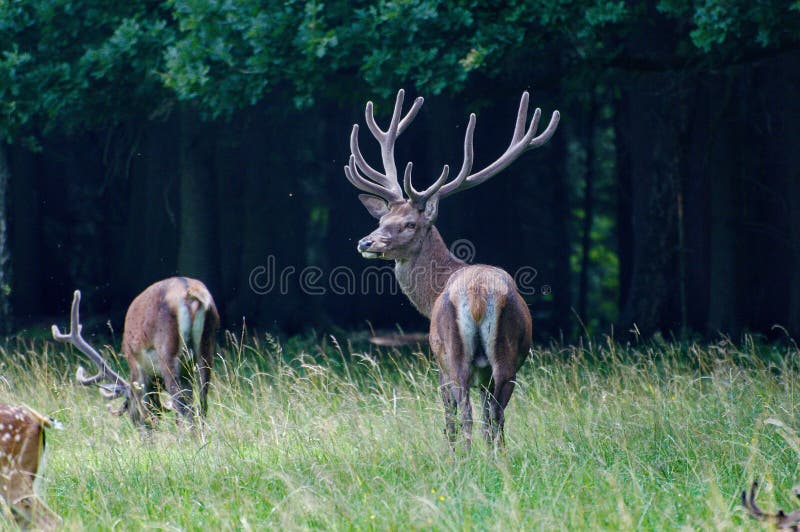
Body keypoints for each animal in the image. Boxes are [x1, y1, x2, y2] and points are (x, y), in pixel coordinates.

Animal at [52, 277, 220, 428]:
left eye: (132, 414)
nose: (144, 436)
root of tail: (190, 291)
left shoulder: (137, 367)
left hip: (167, 352)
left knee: (183, 407)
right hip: (206, 348)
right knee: (201, 405)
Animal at [344, 89, 559, 450]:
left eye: (409, 224)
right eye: (382, 219)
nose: (366, 242)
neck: (434, 290)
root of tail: (479, 295)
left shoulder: (438, 363)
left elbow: (449, 417)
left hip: (453, 355)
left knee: (466, 415)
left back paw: (462, 457)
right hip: (507, 360)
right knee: (495, 417)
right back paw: (496, 457)